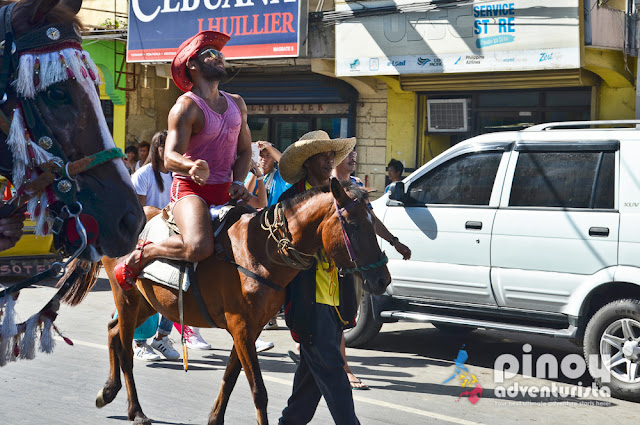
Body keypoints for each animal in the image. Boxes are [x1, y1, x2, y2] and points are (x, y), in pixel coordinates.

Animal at [97, 179, 392, 424]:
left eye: (374, 223)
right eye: (354, 226)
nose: (382, 279)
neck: (262, 253)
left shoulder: (251, 328)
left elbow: (230, 377)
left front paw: (215, 419)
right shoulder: (241, 326)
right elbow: (258, 390)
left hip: (148, 302)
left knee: (112, 331)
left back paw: (109, 390)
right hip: (127, 298)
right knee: (125, 351)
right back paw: (135, 411)